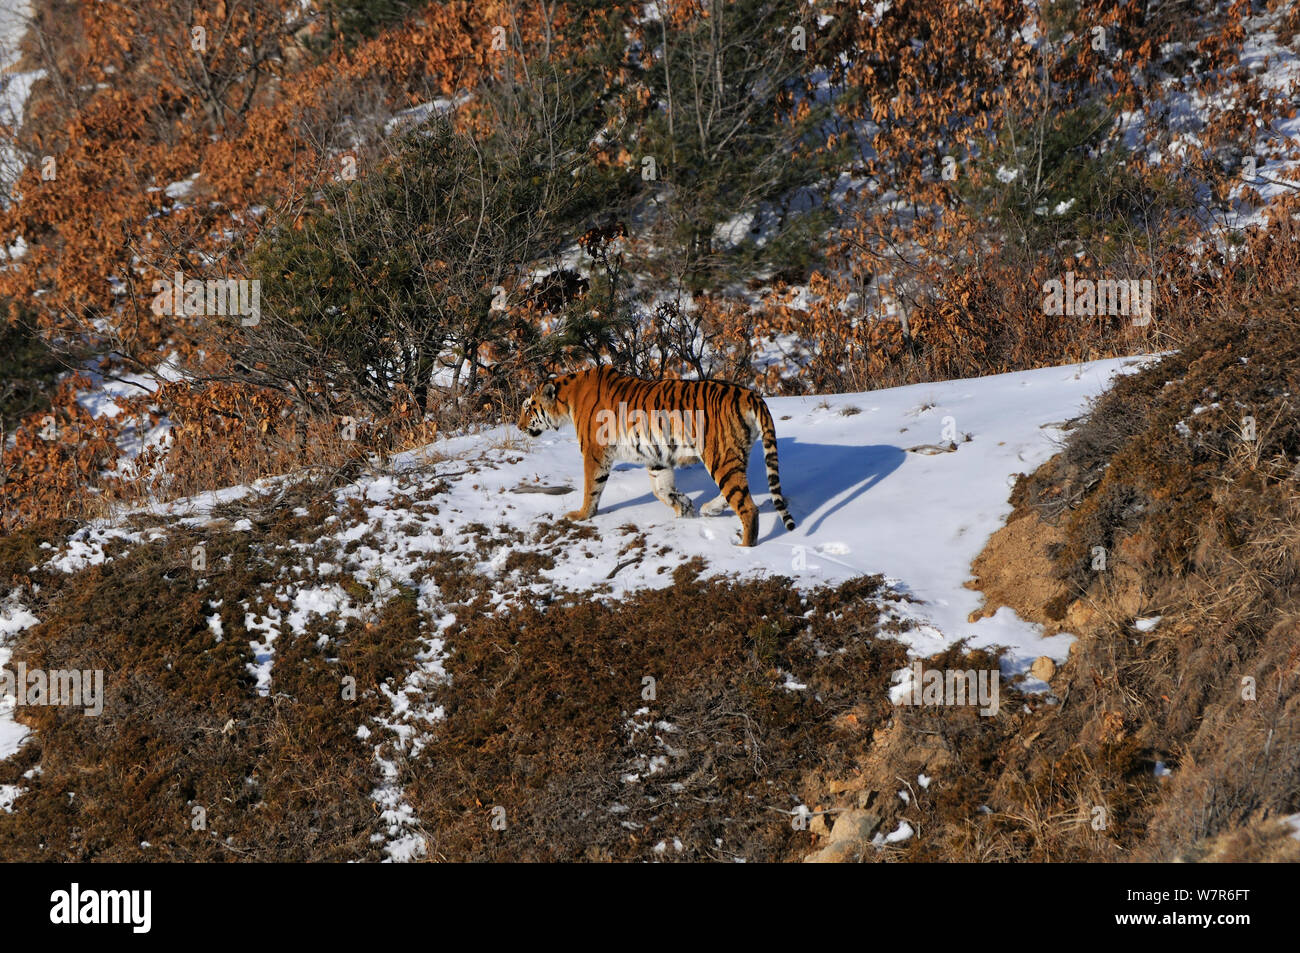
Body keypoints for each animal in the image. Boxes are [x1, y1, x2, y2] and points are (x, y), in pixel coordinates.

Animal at [517, 366, 796, 546]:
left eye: (528, 408)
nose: (518, 426)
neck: (568, 400)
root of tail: (750, 393)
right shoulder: (656, 455)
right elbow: (661, 489)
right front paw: (685, 508)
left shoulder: (594, 452)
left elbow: (591, 487)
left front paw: (582, 515)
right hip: (735, 454)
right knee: (734, 494)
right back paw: (709, 509)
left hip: (719, 455)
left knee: (748, 507)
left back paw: (745, 547)